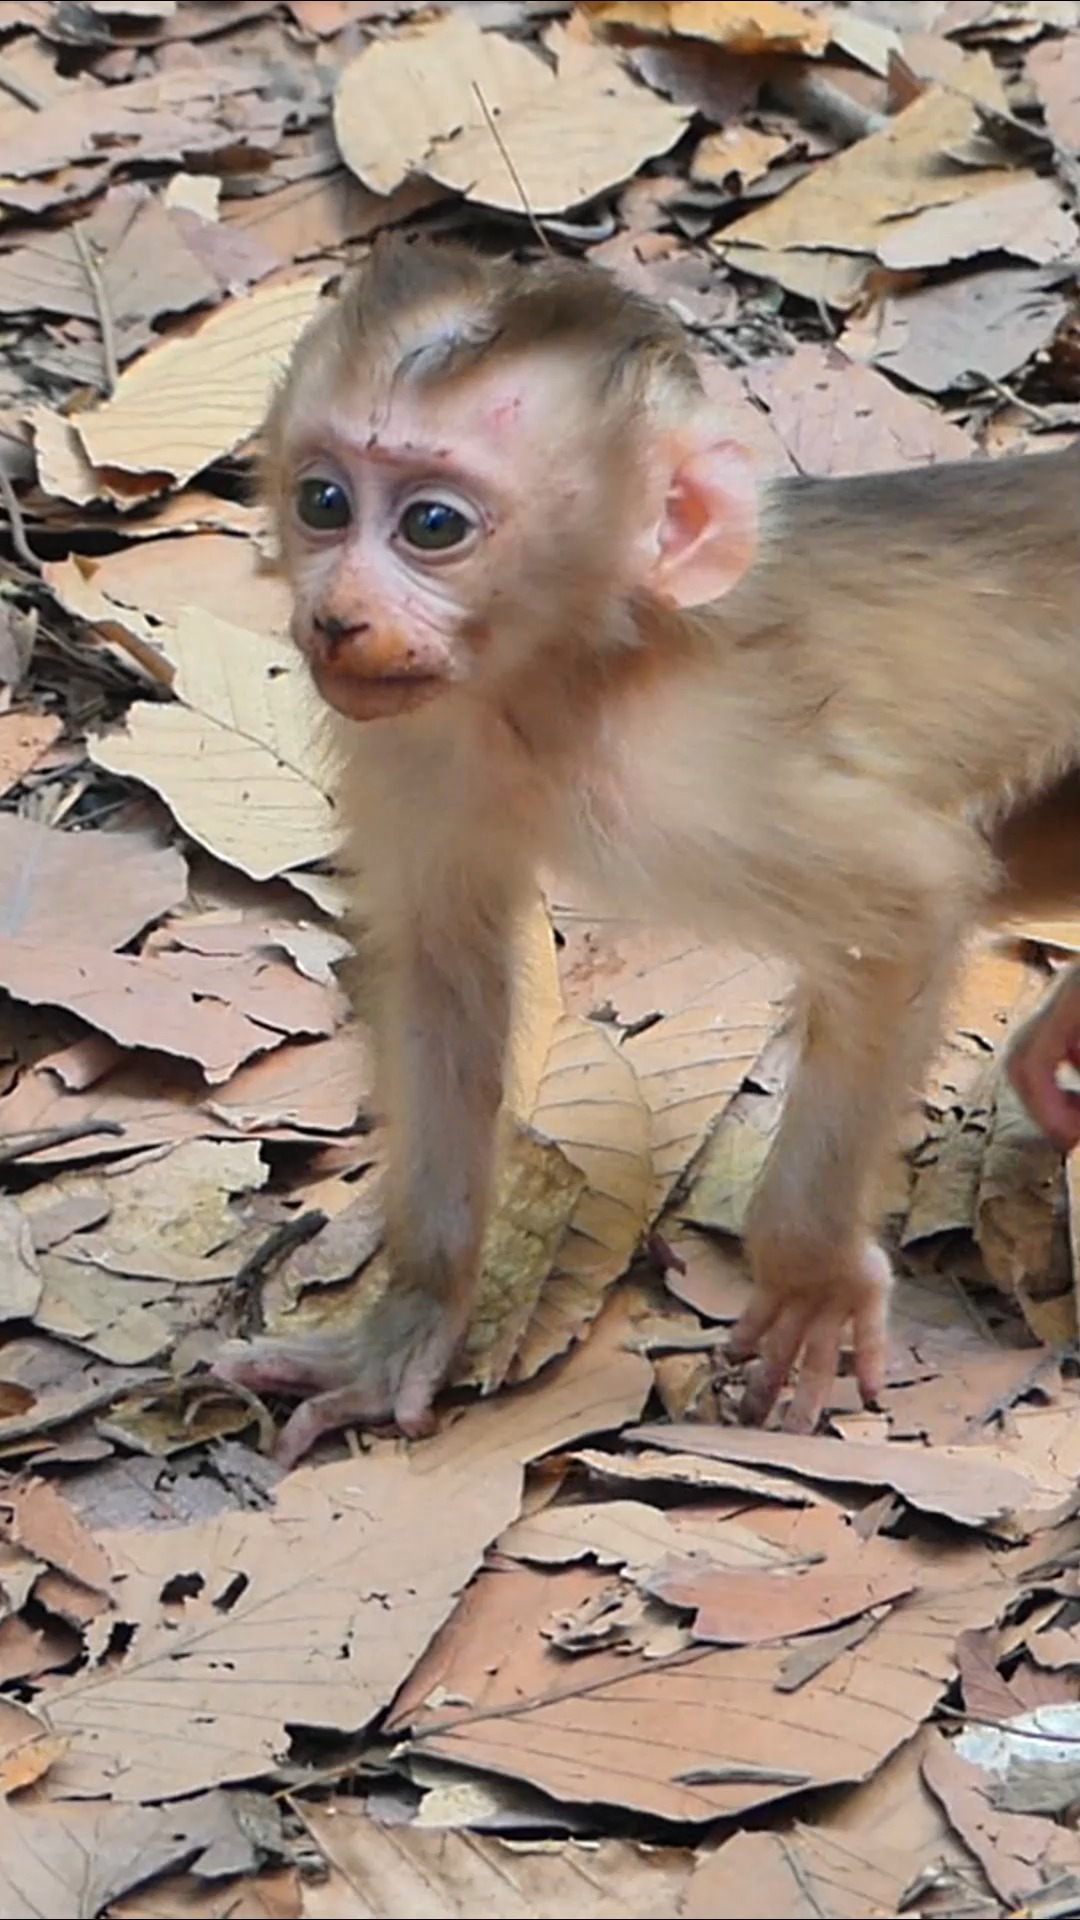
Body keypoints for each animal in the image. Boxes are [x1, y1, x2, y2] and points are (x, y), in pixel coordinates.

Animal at [213, 235, 1080, 1468]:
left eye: (432, 527)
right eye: (323, 501)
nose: (335, 615)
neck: (562, 685)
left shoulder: (698, 767)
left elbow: (911, 906)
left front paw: (809, 1269)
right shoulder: (417, 741)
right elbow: (442, 970)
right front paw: (415, 1317)